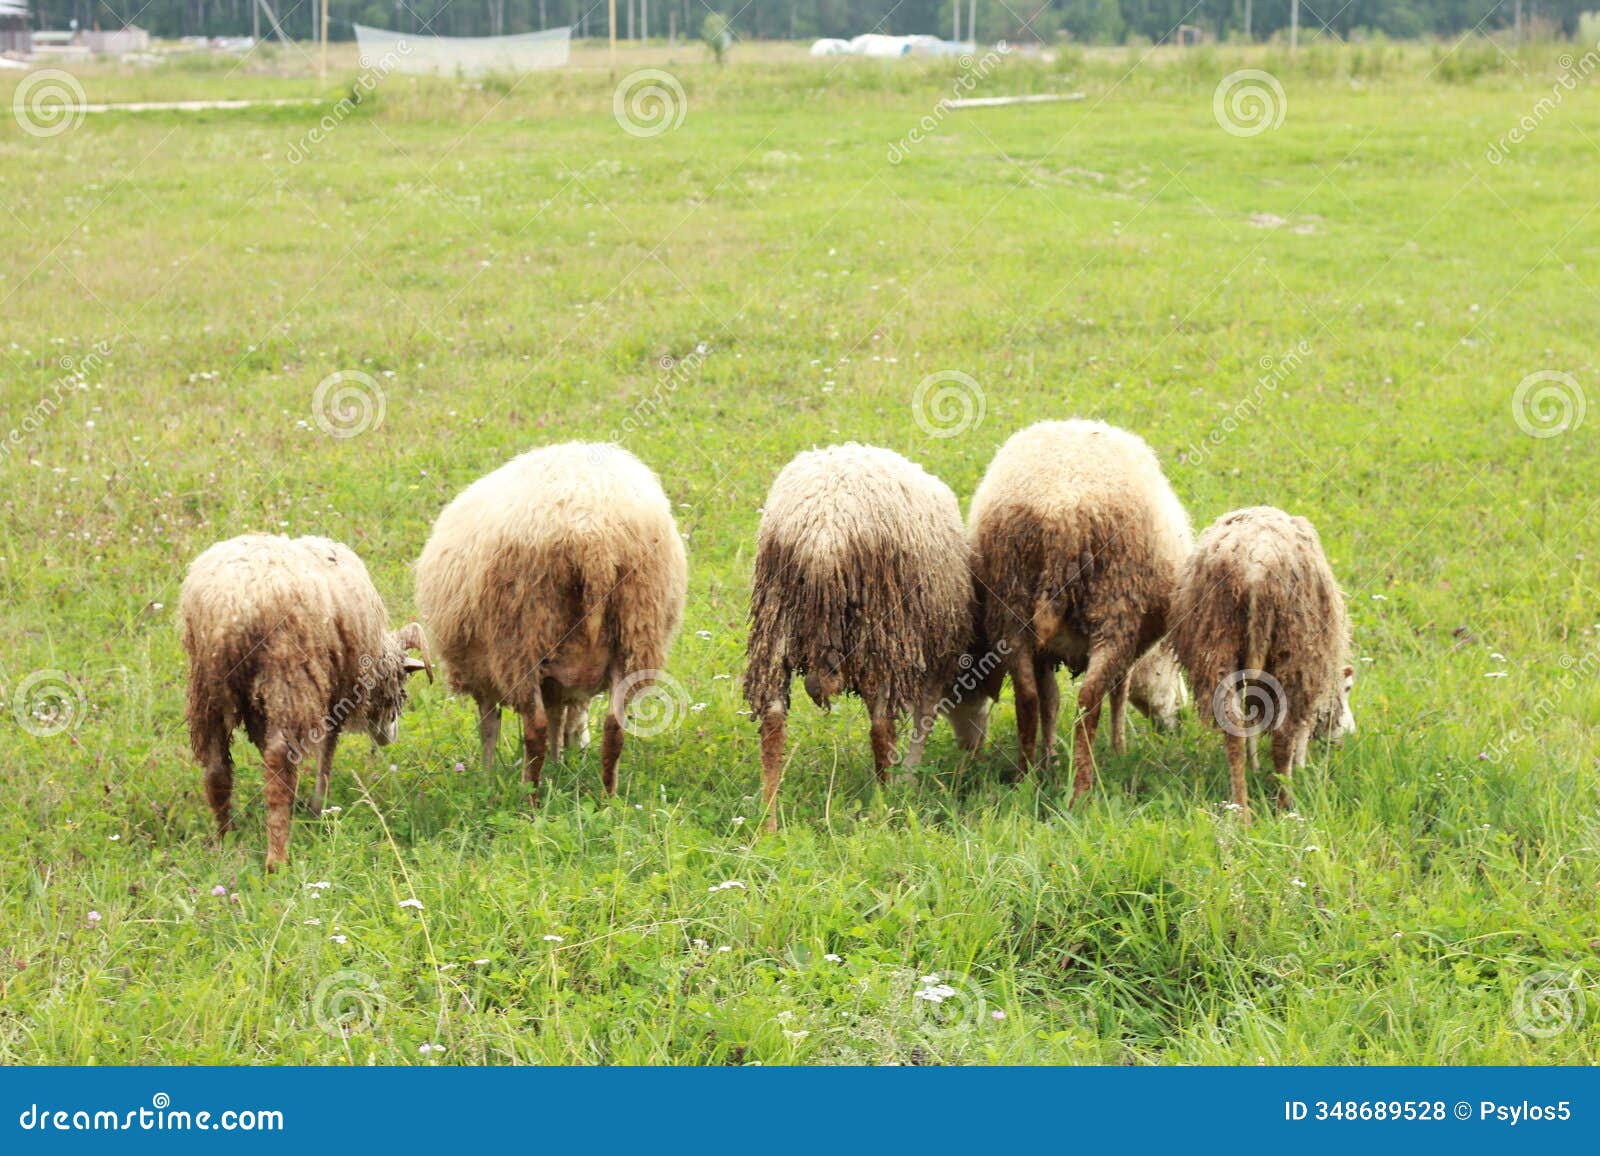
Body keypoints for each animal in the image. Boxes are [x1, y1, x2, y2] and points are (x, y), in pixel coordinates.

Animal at [180, 534, 431, 872]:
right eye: (402, 691)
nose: (389, 737)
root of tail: (237, 600)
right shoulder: (338, 689)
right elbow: (328, 750)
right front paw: (317, 806)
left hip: (208, 684)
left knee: (217, 765)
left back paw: (225, 839)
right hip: (290, 673)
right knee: (279, 759)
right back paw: (277, 857)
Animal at [414, 442, 688, 802]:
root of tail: (593, 535)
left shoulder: (483, 672)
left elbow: (489, 726)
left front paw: (486, 778)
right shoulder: (559, 676)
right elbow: (560, 718)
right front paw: (561, 763)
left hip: (520, 639)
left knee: (536, 729)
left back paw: (528, 798)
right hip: (635, 634)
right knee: (613, 727)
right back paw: (608, 799)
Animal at [743, 444, 988, 831]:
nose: (975, 753)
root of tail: (825, 534)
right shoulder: (937, 655)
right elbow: (925, 717)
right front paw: (909, 779)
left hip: (775, 618)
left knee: (772, 722)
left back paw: (768, 821)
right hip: (883, 627)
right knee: (881, 727)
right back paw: (883, 804)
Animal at [967, 419, 1193, 799]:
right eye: (1172, 670)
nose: (1181, 720)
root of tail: (1060, 517)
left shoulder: (1043, 652)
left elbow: (1050, 700)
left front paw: (1050, 759)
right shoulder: (1130, 645)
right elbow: (1118, 693)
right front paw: (1119, 749)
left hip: (1009, 611)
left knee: (1027, 697)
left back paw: (1025, 779)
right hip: (1115, 609)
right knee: (1088, 701)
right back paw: (1082, 790)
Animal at [1168, 505, 1355, 818]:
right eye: (1348, 689)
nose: (1347, 734)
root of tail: (1259, 565)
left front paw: (1254, 765)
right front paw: (1298, 767)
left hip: (1217, 641)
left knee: (1233, 732)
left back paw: (1242, 809)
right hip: (1294, 651)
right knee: (1283, 736)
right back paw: (1284, 806)